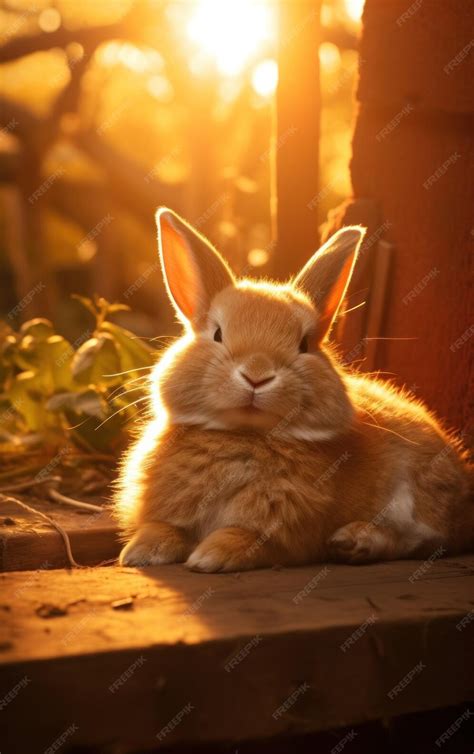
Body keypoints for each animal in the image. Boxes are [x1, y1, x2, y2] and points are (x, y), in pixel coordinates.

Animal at [114, 207, 473, 572]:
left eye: (303, 344)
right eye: (217, 334)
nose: (257, 375)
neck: (245, 435)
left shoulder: (281, 535)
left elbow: (246, 538)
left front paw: (211, 556)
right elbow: (164, 527)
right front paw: (140, 552)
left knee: (424, 539)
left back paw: (355, 541)